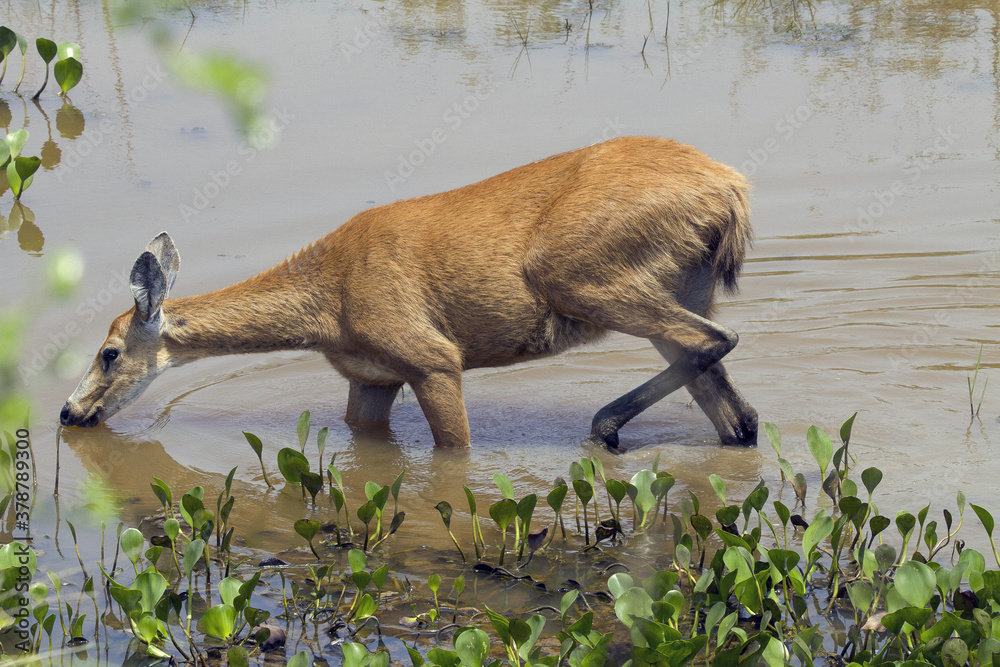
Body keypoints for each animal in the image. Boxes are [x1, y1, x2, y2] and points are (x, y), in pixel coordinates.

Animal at [60, 136, 758, 450]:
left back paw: (604, 426)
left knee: (719, 341)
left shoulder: (433, 358)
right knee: (737, 413)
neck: (326, 306)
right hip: (679, 284)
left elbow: (455, 455)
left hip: (581, 275)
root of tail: (729, 190)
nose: (68, 411)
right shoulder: (372, 377)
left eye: (109, 352)